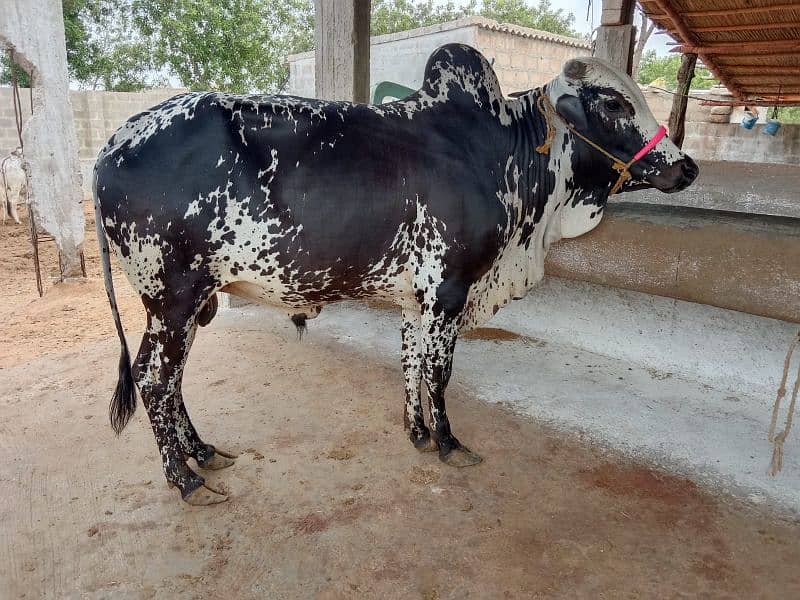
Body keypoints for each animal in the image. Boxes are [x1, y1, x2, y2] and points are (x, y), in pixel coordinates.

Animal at [94, 44, 697, 505]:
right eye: (614, 102)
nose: (687, 166)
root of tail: (112, 143)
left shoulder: (416, 298)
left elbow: (410, 361)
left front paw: (417, 432)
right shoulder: (449, 291)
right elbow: (439, 372)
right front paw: (450, 444)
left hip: (187, 305)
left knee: (170, 379)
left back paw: (201, 452)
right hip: (172, 300)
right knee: (153, 378)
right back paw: (185, 479)